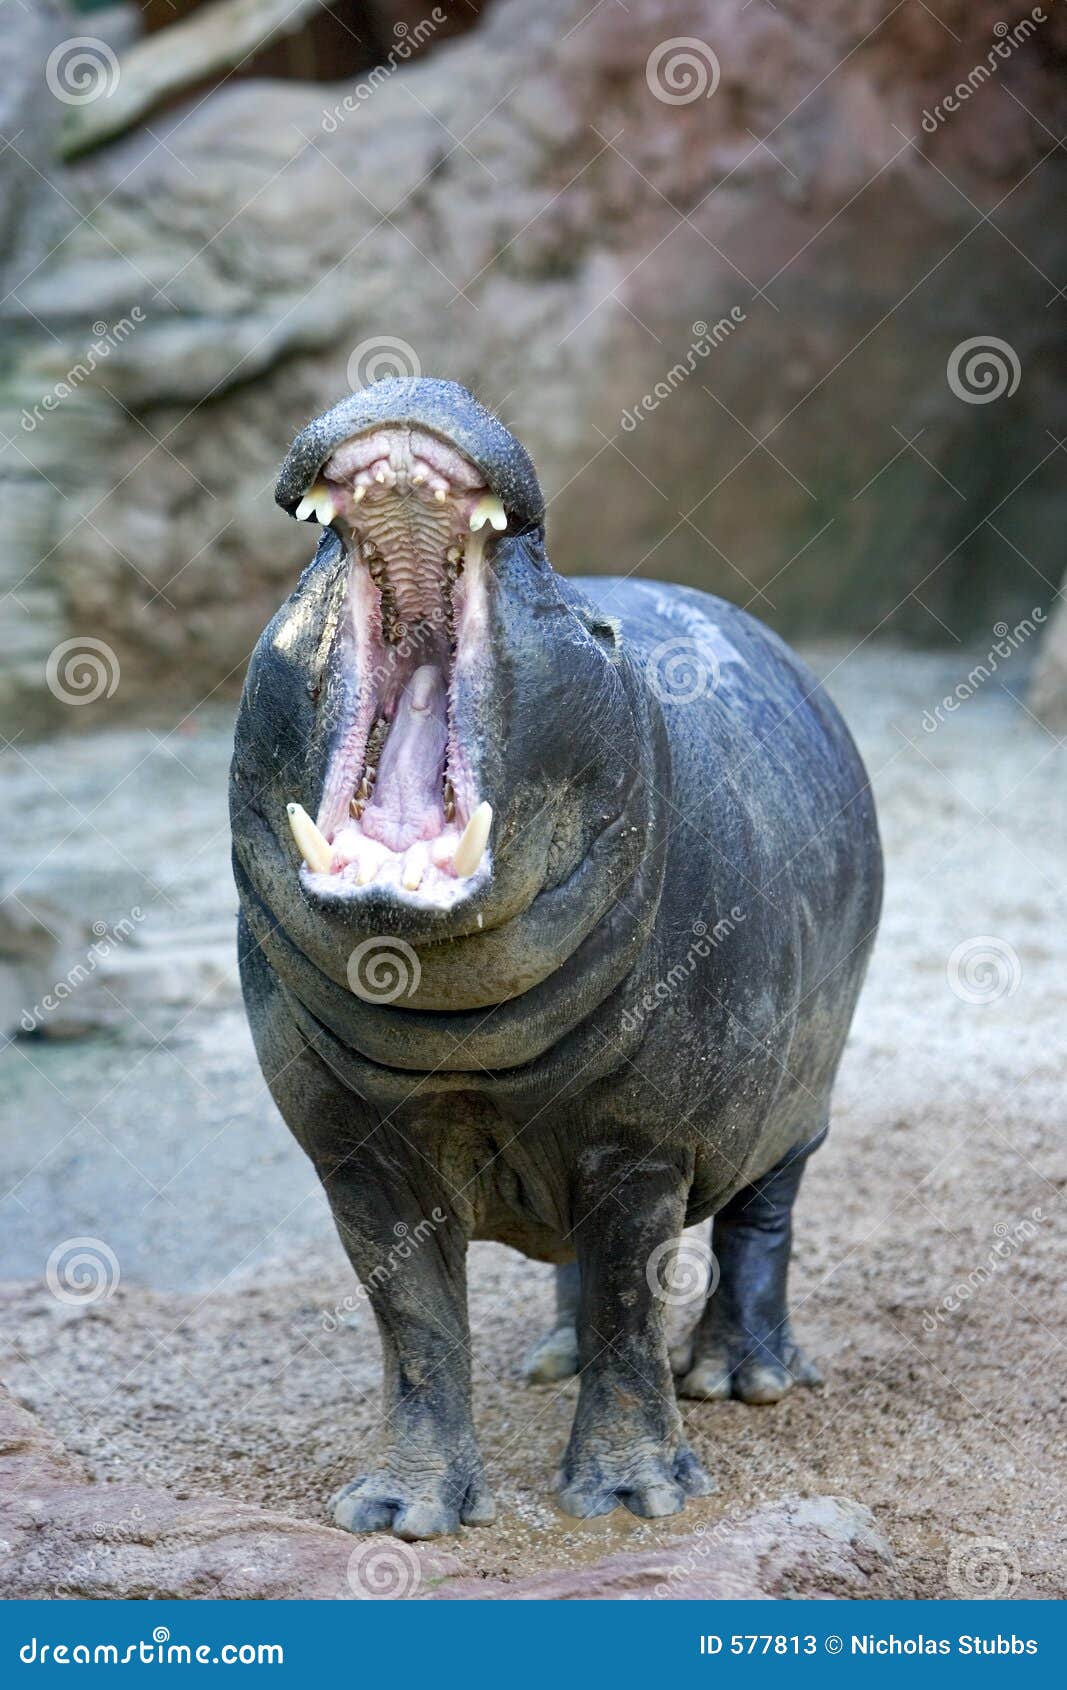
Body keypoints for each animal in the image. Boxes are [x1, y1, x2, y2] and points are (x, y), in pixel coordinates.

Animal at [230, 377, 882, 1541]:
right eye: (296, 577)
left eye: (588, 621)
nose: (417, 376)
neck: (452, 1035)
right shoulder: (353, 1155)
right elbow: (414, 1326)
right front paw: (395, 1511)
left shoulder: (642, 1143)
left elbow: (632, 1294)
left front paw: (631, 1499)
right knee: (580, 1267)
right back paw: (553, 1362)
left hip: (796, 1098)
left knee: (760, 1220)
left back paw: (741, 1379)